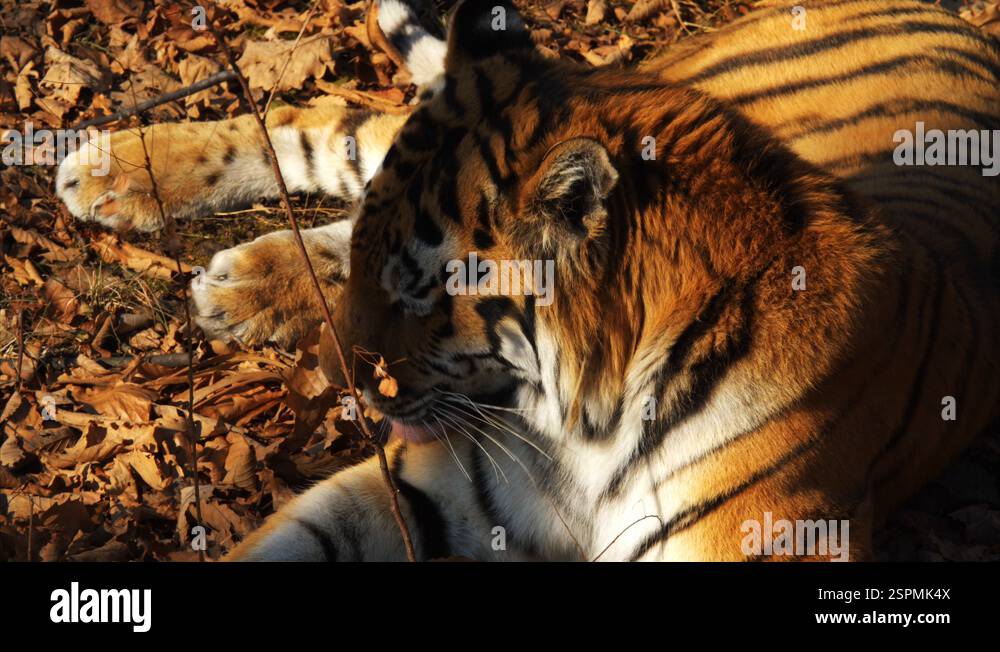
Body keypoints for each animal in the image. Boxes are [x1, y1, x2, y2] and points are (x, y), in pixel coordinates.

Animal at [54, 0, 1000, 561]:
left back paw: (234, 277)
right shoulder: (436, 487)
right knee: (326, 121)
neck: (590, 427)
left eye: (418, 292)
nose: (338, 381)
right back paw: (111, 170)